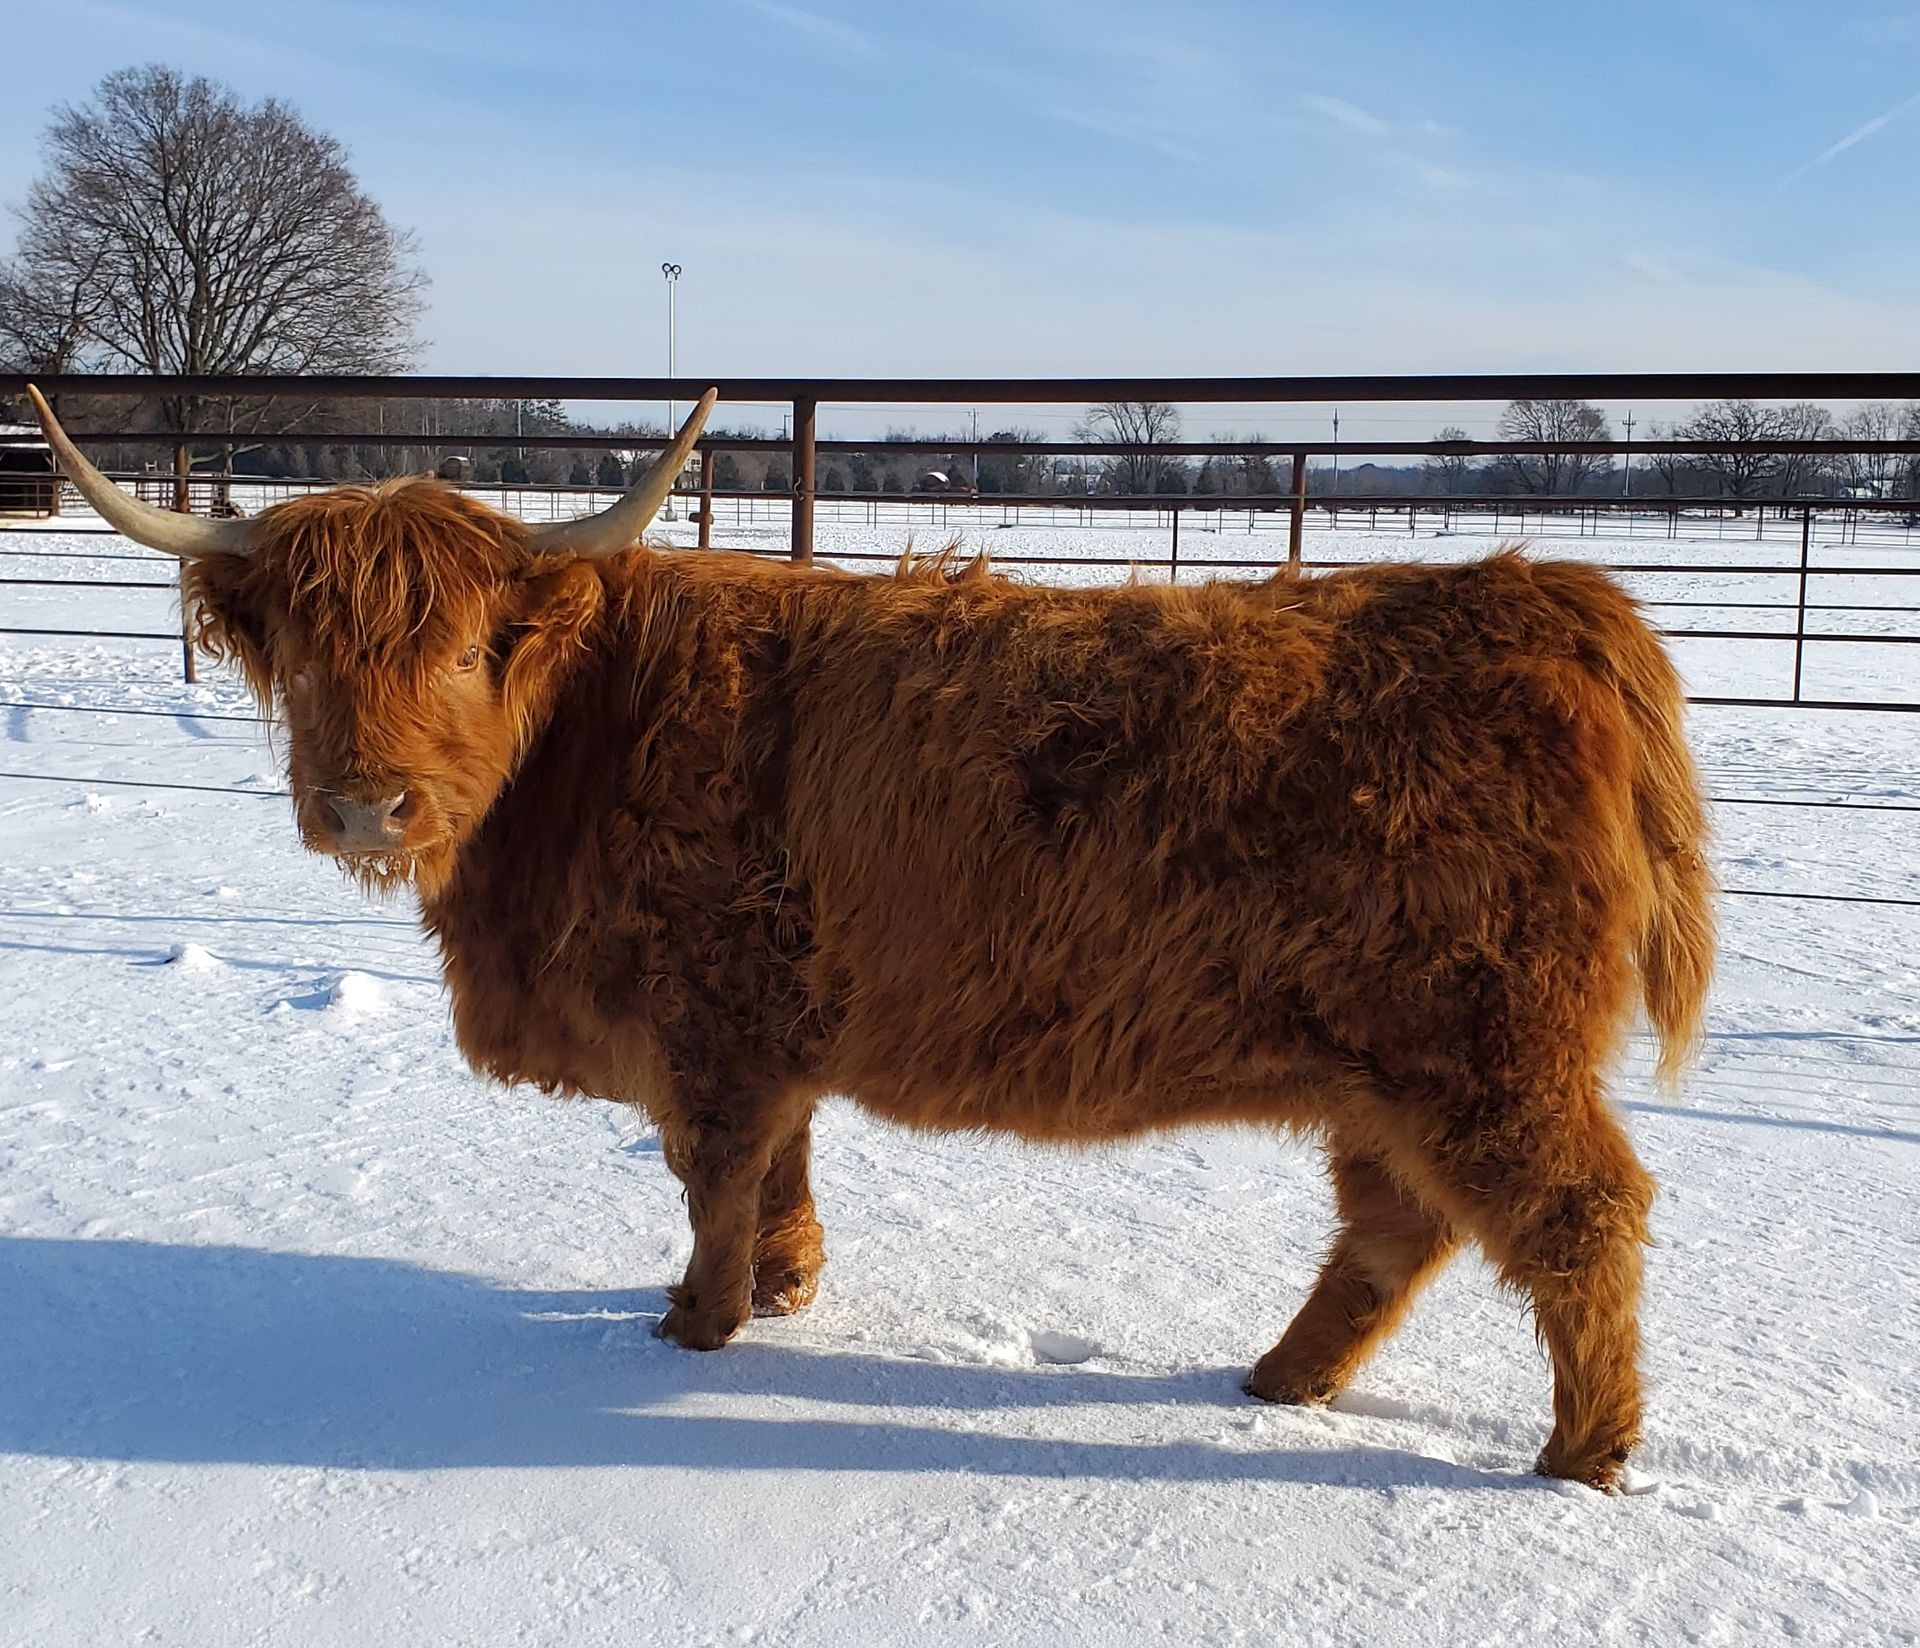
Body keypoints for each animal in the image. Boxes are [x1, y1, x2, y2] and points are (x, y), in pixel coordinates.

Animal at [29, 385, 1713, 1490]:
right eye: (308, 659)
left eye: (458, 650)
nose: (366, 805)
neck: (583, 742)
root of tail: (1547, 599)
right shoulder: (771, 1025)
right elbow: (778, 1165)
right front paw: (784, 1288)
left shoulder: (709, 1017)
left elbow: (711, 1173)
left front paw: (694, 1326)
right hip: (1382, 1068)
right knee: (1397, 1225)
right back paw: (1283, 1377)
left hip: (1482, 1049)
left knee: (1577, 1214)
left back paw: (1583, 1453)